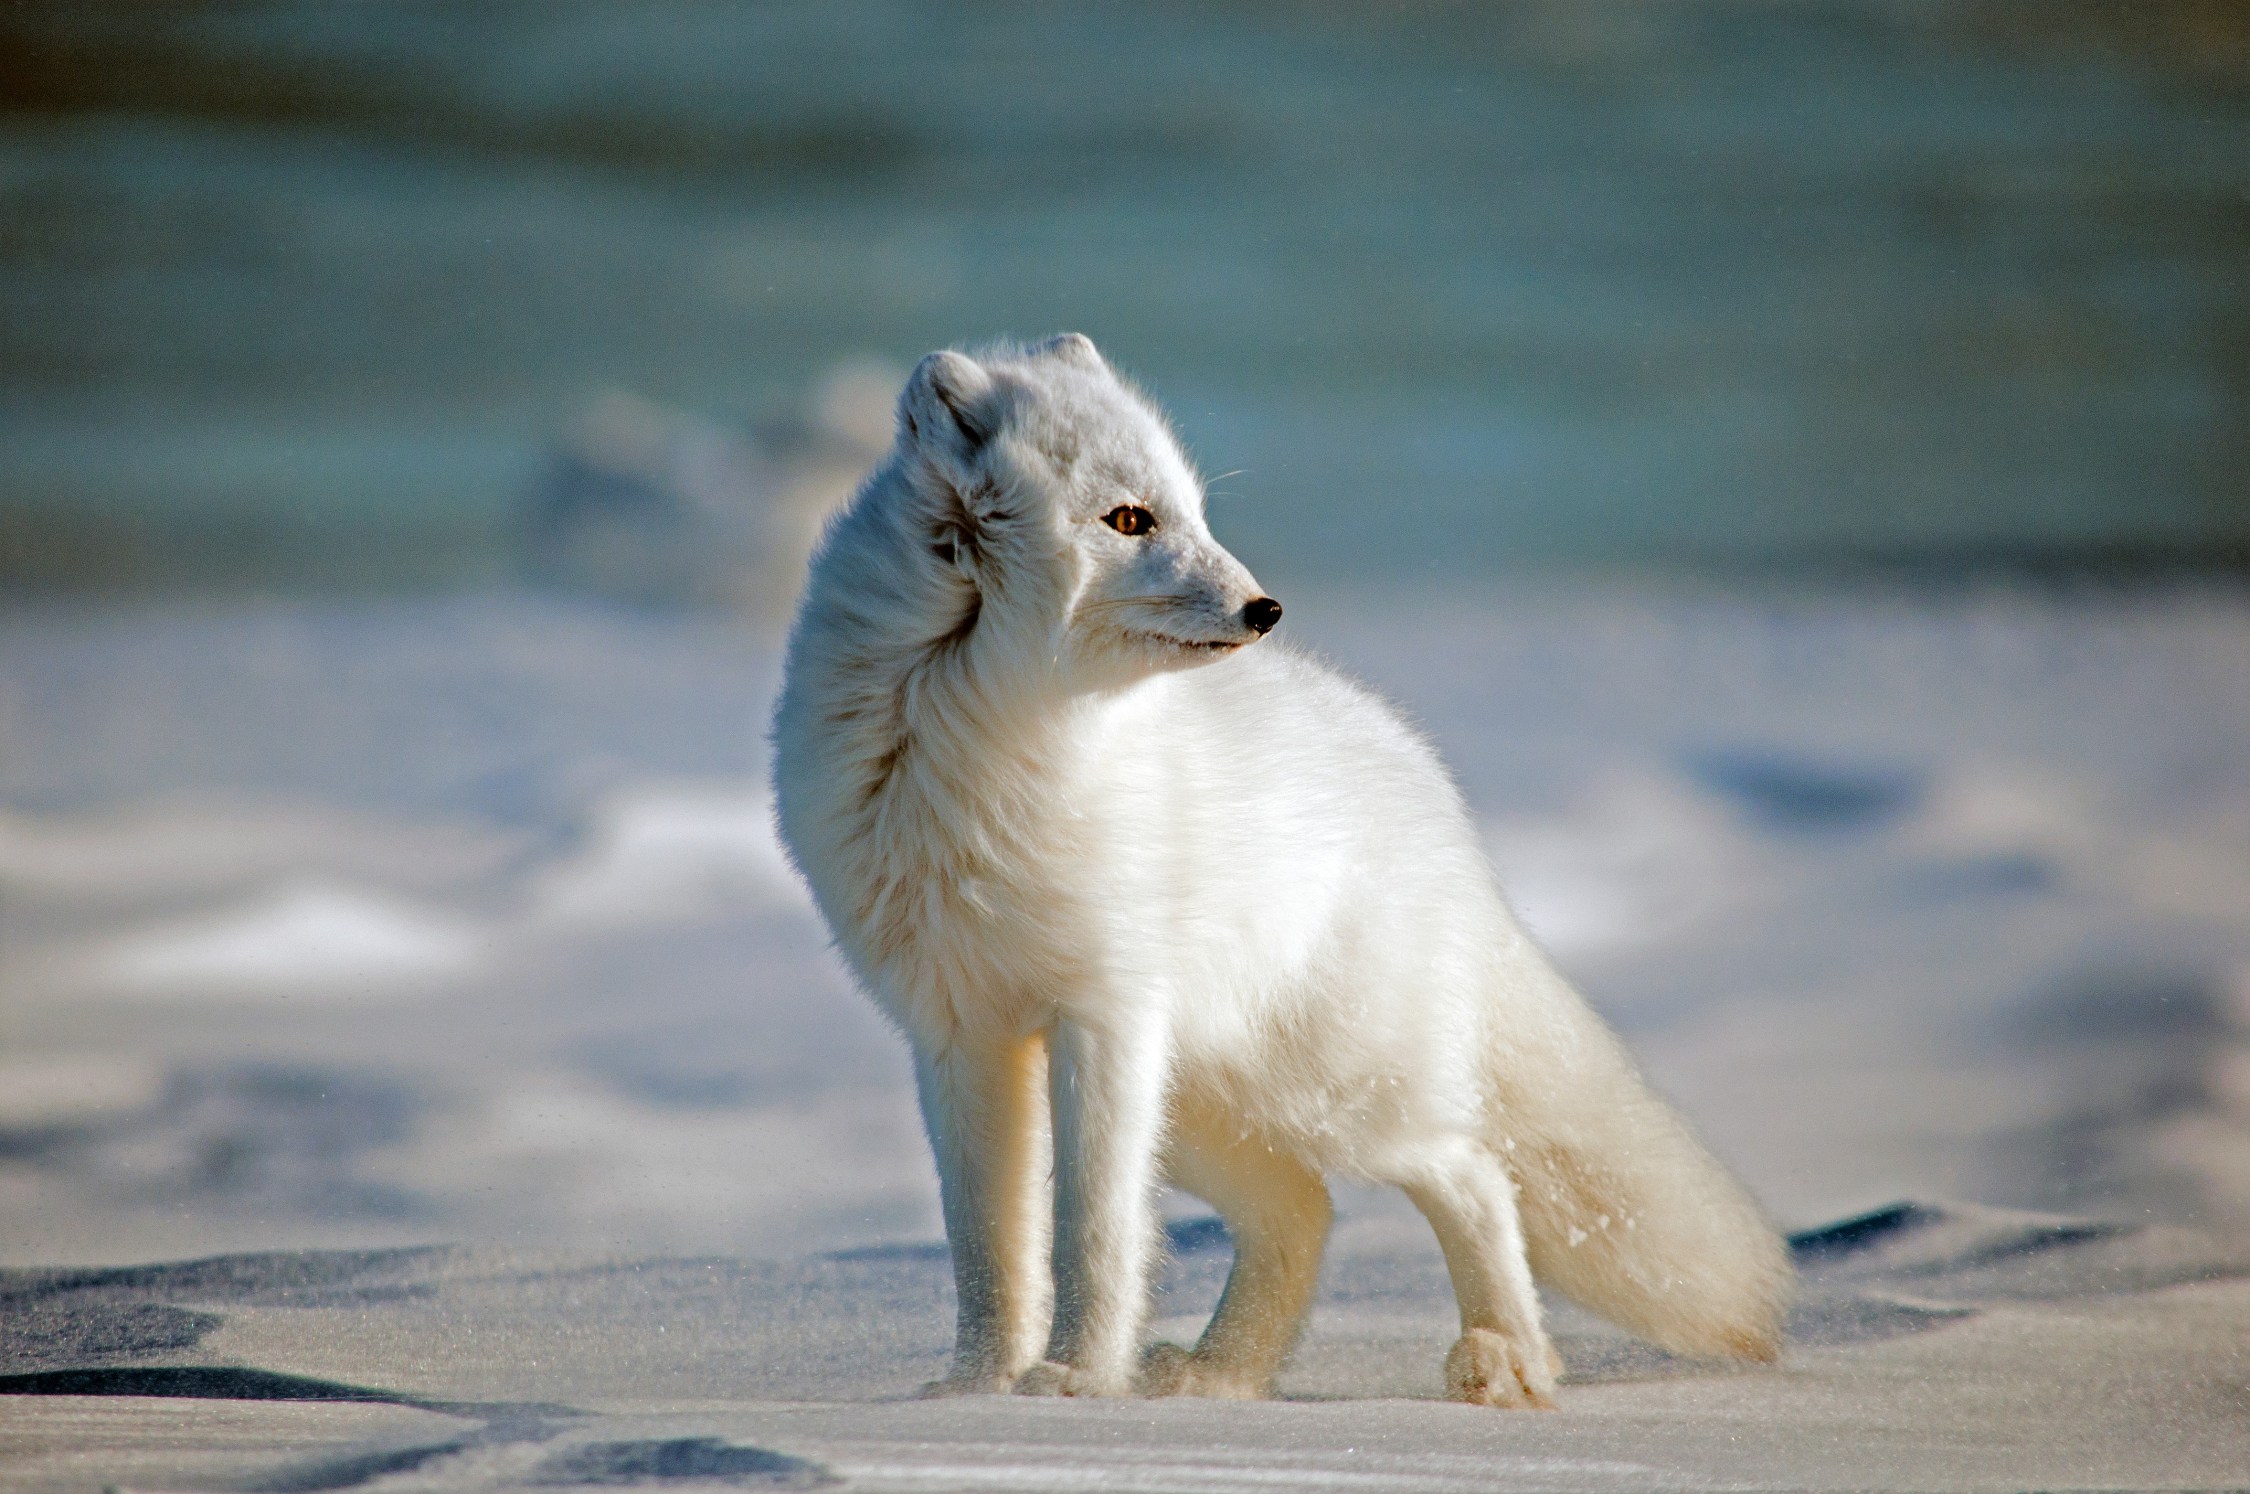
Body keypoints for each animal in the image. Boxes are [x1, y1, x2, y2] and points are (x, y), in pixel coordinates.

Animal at [770, 334, 1791, 1407]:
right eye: (1130, 517)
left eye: (1193, 510)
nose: (1265, 608)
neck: (981, 731)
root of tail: (1436, 798)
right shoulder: (960, 1032)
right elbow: (987, 1243)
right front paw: (978, 1386)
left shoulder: (1106, 1011)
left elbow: (1095, 1228)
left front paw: (1076, 1381)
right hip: (1206, 1103)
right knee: (1303, 1209)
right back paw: (1218, 1378)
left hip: (1327, 1089)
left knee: (1471, 1173)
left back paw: (1506, 1363)